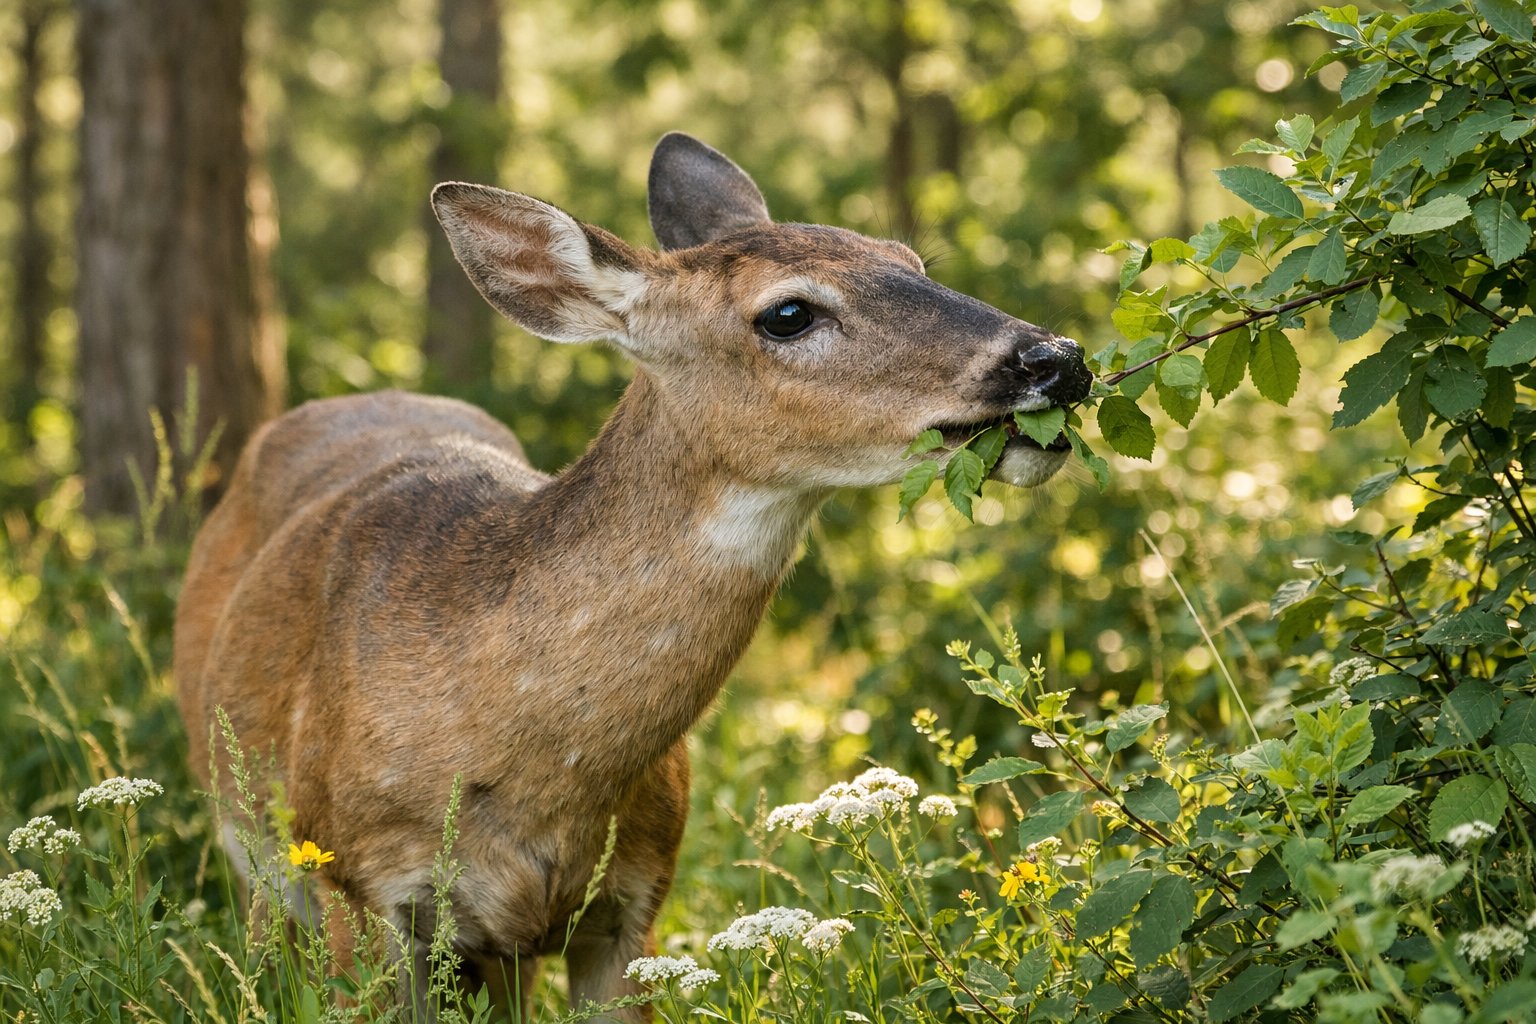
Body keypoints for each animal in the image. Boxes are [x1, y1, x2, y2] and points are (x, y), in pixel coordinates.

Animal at [174, 131, 1092, 1019]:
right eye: (788, 313)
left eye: (910, 260)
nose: (1056, 358)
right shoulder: (353, 888)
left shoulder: (635, 901)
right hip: (257, 862)